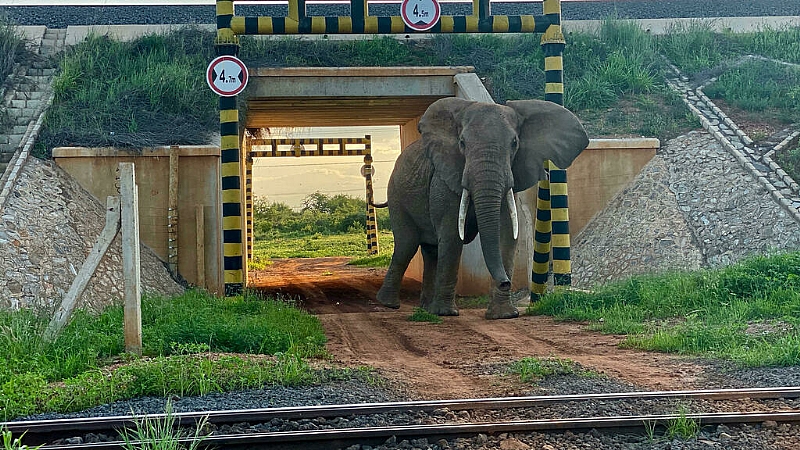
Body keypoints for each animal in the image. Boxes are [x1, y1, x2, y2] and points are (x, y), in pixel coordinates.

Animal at [375, 97, 589, 319]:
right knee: (406, 246)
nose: (506, 283)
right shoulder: (445, 179)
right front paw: (446, 313)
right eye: (462, 143)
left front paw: (503, 315)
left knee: (430, 251)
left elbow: (506, 234)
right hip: (396, 195)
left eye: (514, 143)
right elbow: (452, 235)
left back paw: (426, 308)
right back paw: (390, 304)